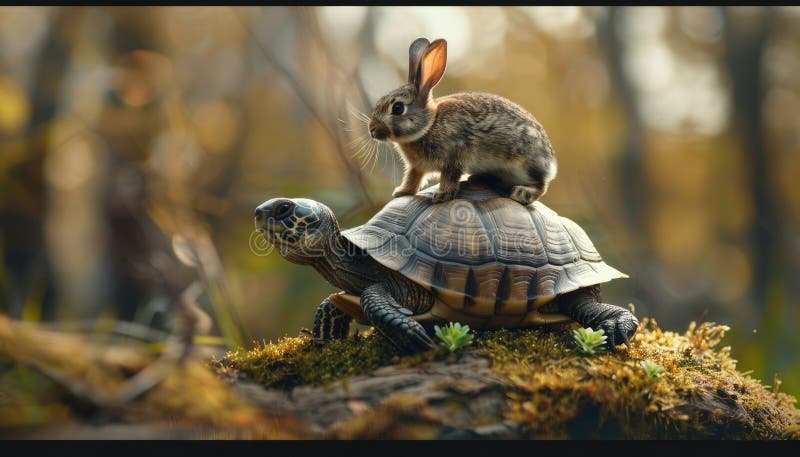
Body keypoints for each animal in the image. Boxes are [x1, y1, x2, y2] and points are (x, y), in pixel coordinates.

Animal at [367, 37, 557, 205]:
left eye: (398, 108)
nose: (372, 129)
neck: (429, 125)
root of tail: (551, 163)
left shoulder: (454, 157)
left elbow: (449, 177)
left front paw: (442, 195)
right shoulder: (417, 167)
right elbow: (413, 179)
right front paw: (401, 192)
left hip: (526, 164)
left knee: (541, 186)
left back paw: (522, 193)